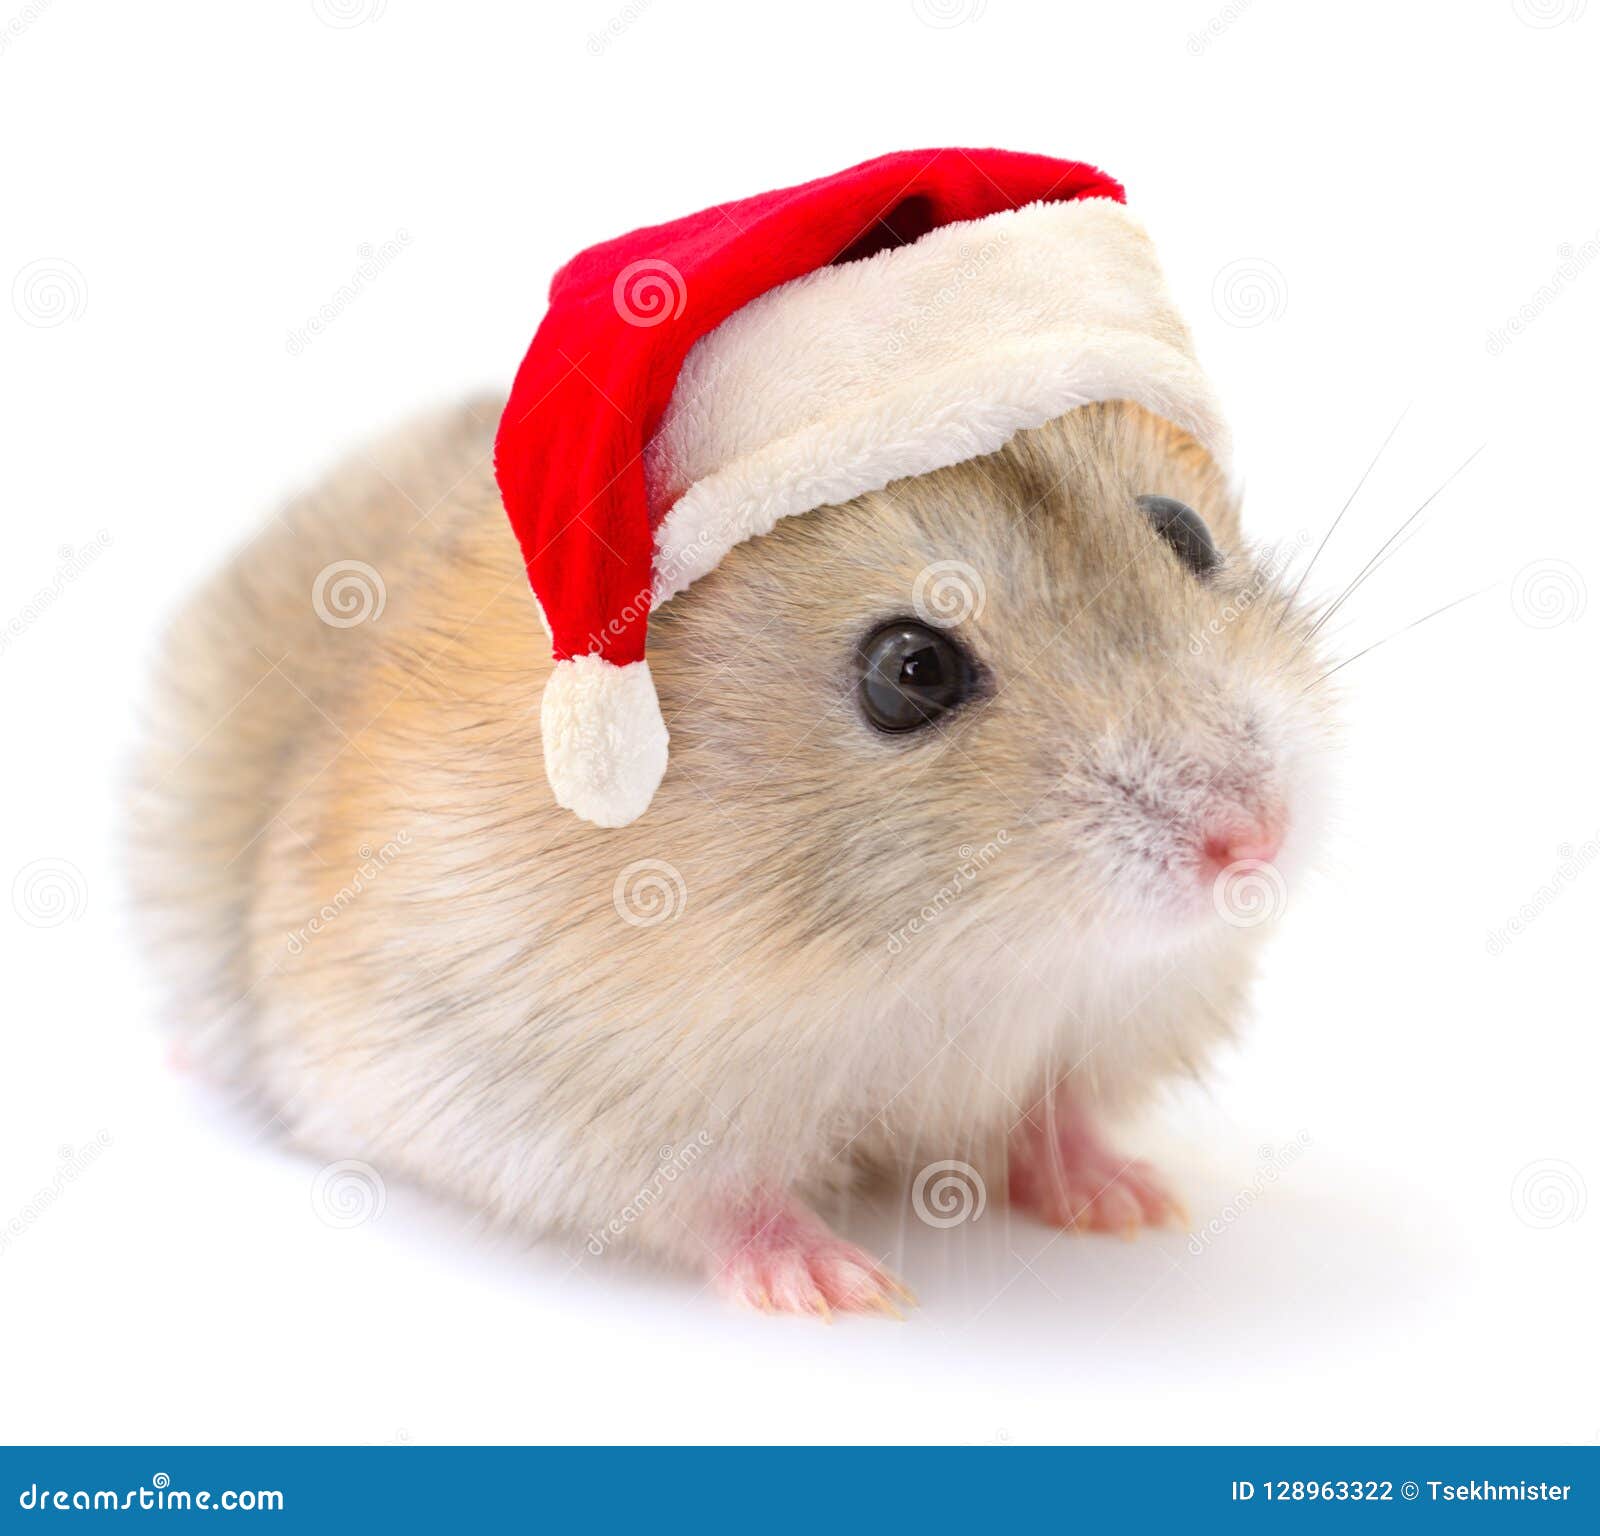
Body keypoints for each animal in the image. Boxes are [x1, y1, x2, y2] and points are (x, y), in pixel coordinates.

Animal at [129, 396, 1332, 1317]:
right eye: (908, 672)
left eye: (1183, 532)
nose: (1253, 841)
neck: (937, 962)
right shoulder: (553, 1093)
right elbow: (716, 1200)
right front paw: (842, 1289)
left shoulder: (1099, 1022)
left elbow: (1060, 1111)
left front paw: (1132, 1204)